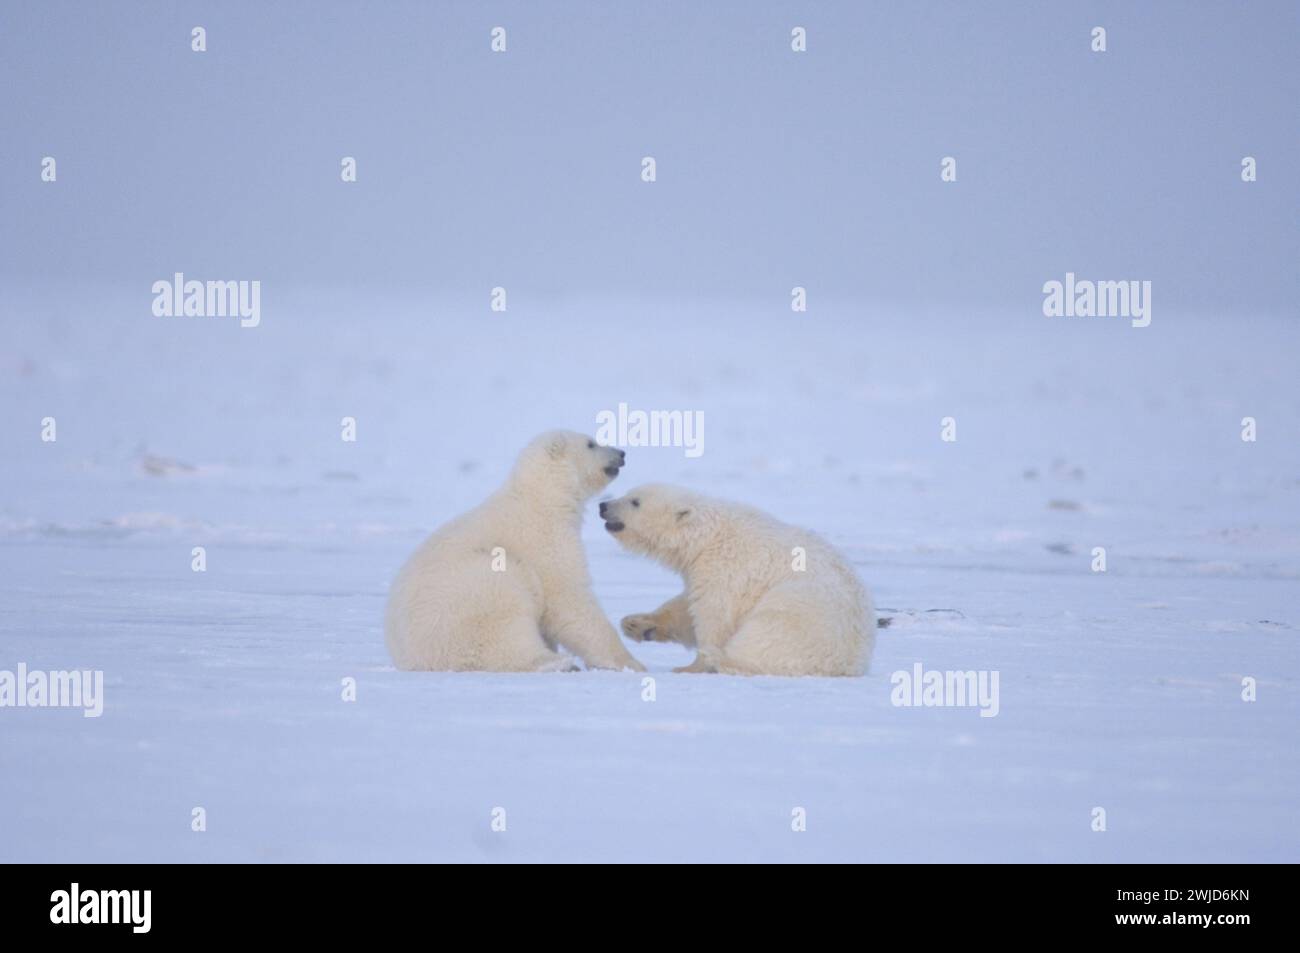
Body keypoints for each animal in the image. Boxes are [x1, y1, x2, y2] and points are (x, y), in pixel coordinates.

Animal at [384, 431, 645, 673]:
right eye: (591, 443)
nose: (621, 453)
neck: (542, 499)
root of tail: (416, 660)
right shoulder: (545, 540)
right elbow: (569, 599)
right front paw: (631, 663)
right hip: (473, 594)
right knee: (504, 627)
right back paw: (557, 663)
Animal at [600, 484, 874, 676]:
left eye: (635, 501)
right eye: (629, 493)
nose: (603, 505)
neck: (707, 537)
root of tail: (851, 663)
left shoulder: (725, 568)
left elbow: (712, 615)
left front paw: (692, 666)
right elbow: (687, 607)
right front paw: (637, 624)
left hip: (801, 610)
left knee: (768, 635)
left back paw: (721, 659)